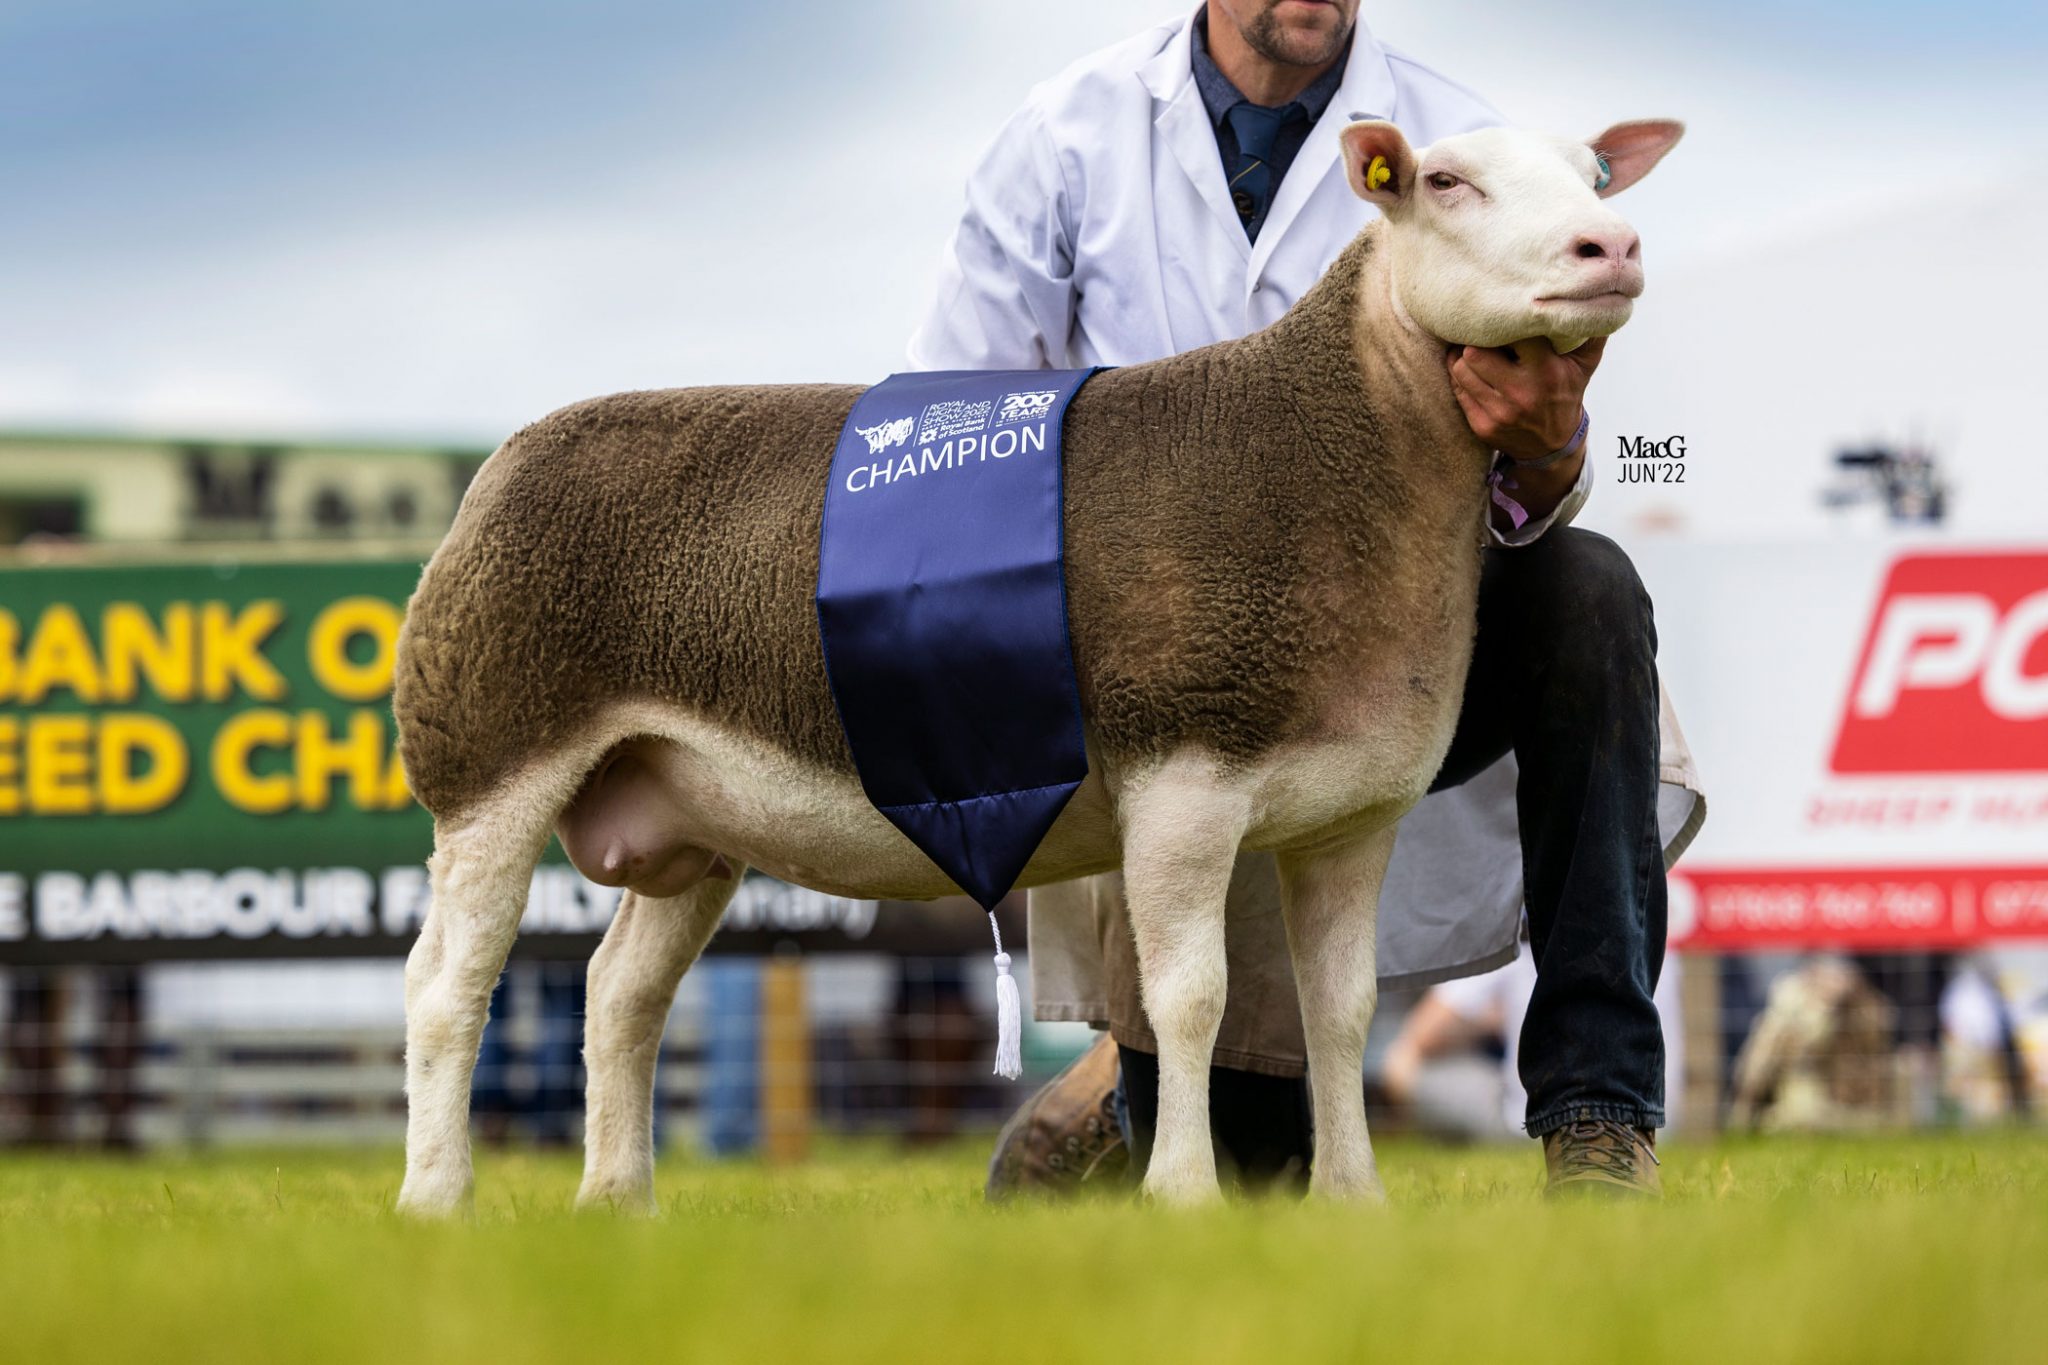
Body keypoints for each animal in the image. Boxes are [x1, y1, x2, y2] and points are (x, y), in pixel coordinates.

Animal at [390, 117, 1684, 1215]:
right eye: (1445, 182)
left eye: (1597, 175)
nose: (1612, 247)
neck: (1327, 454)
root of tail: (510, 454)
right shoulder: (1181, 771)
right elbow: (1189, 999)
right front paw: (1184, 1198)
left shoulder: (1351, 819)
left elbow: (1340, 1010)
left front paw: (1350, 1206)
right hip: (488, 746)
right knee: (446, 987)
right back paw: (437, 1201)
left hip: (687, 810)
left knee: (619, 996)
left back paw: (617, 1208)